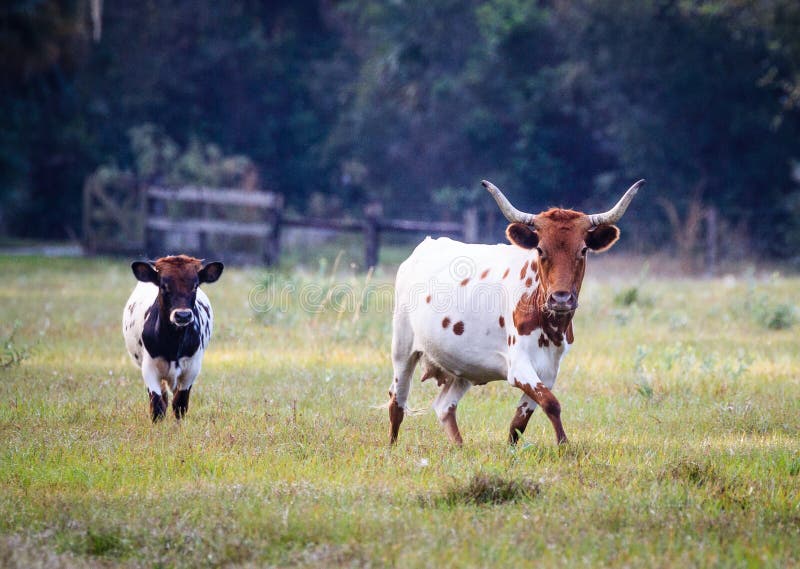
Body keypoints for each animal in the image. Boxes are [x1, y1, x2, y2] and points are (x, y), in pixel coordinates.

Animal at [122, 255, 224, 421]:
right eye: (163, 286)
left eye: (195, 286)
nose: (182, 315)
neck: (173, 343)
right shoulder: (149, 368)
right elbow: (157, 406)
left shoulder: (191, 369)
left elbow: (180, 404)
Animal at [388, 179, 645, 446]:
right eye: (540, 250)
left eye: (583, 250)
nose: (561, 298)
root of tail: (425, 245)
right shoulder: (519, 365)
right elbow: (551, 403)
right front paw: (564, 445)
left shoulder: (549, 370)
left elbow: (520, 420)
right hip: (403, 348)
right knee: (397, 401)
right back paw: (392, 447)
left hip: (463, 364)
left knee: (444, 406)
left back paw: (459, 447)